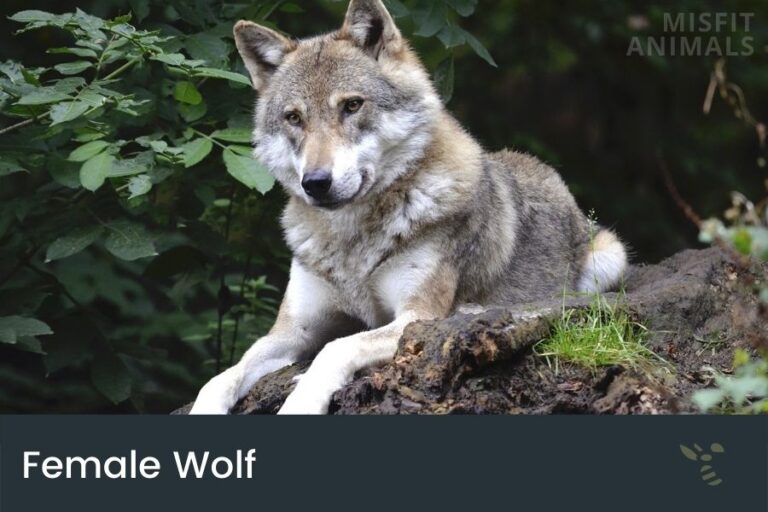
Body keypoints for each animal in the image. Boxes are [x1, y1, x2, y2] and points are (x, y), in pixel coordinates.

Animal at [189, 0, 628, 414]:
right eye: (294, 118)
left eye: (352, 106)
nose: (315, 183)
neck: (352, 241)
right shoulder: (292, 331)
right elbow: (222, 375)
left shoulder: (416, 316)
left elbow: (337, 346)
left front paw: (300, 402)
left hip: (610, 258)